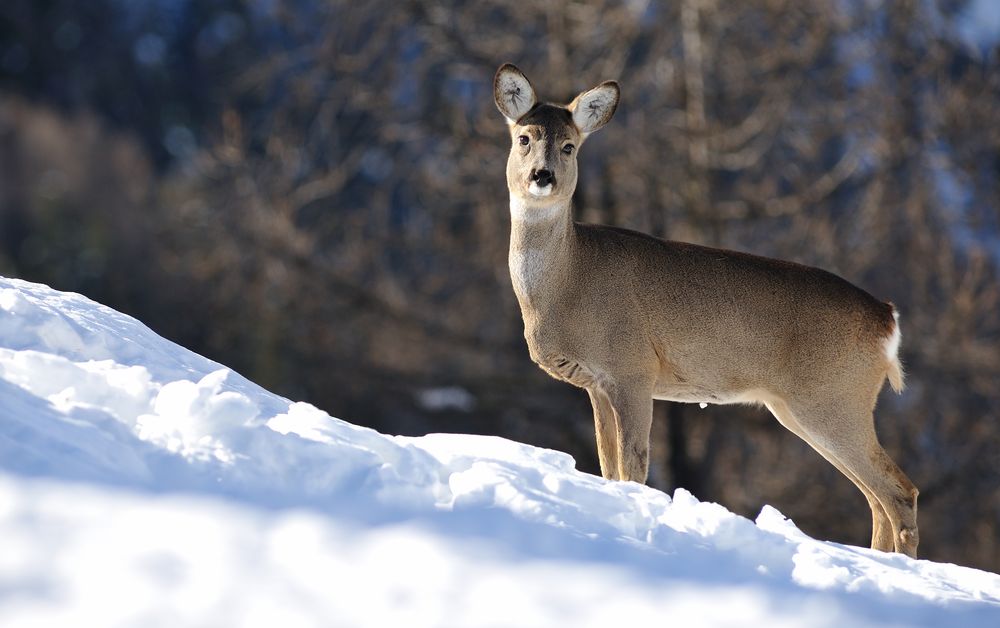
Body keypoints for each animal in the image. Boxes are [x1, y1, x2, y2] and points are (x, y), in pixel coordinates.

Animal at [493, 63, 918, 557]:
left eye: (569, 145)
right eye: (524, 138)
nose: (542, 176)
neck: (568, 282)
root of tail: (887, 319)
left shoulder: (633, 368)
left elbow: (632, 468)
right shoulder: (595, 384)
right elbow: (607, 466)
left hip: (834, 398)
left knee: (898, 491)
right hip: (804, 406)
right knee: (876, 497)